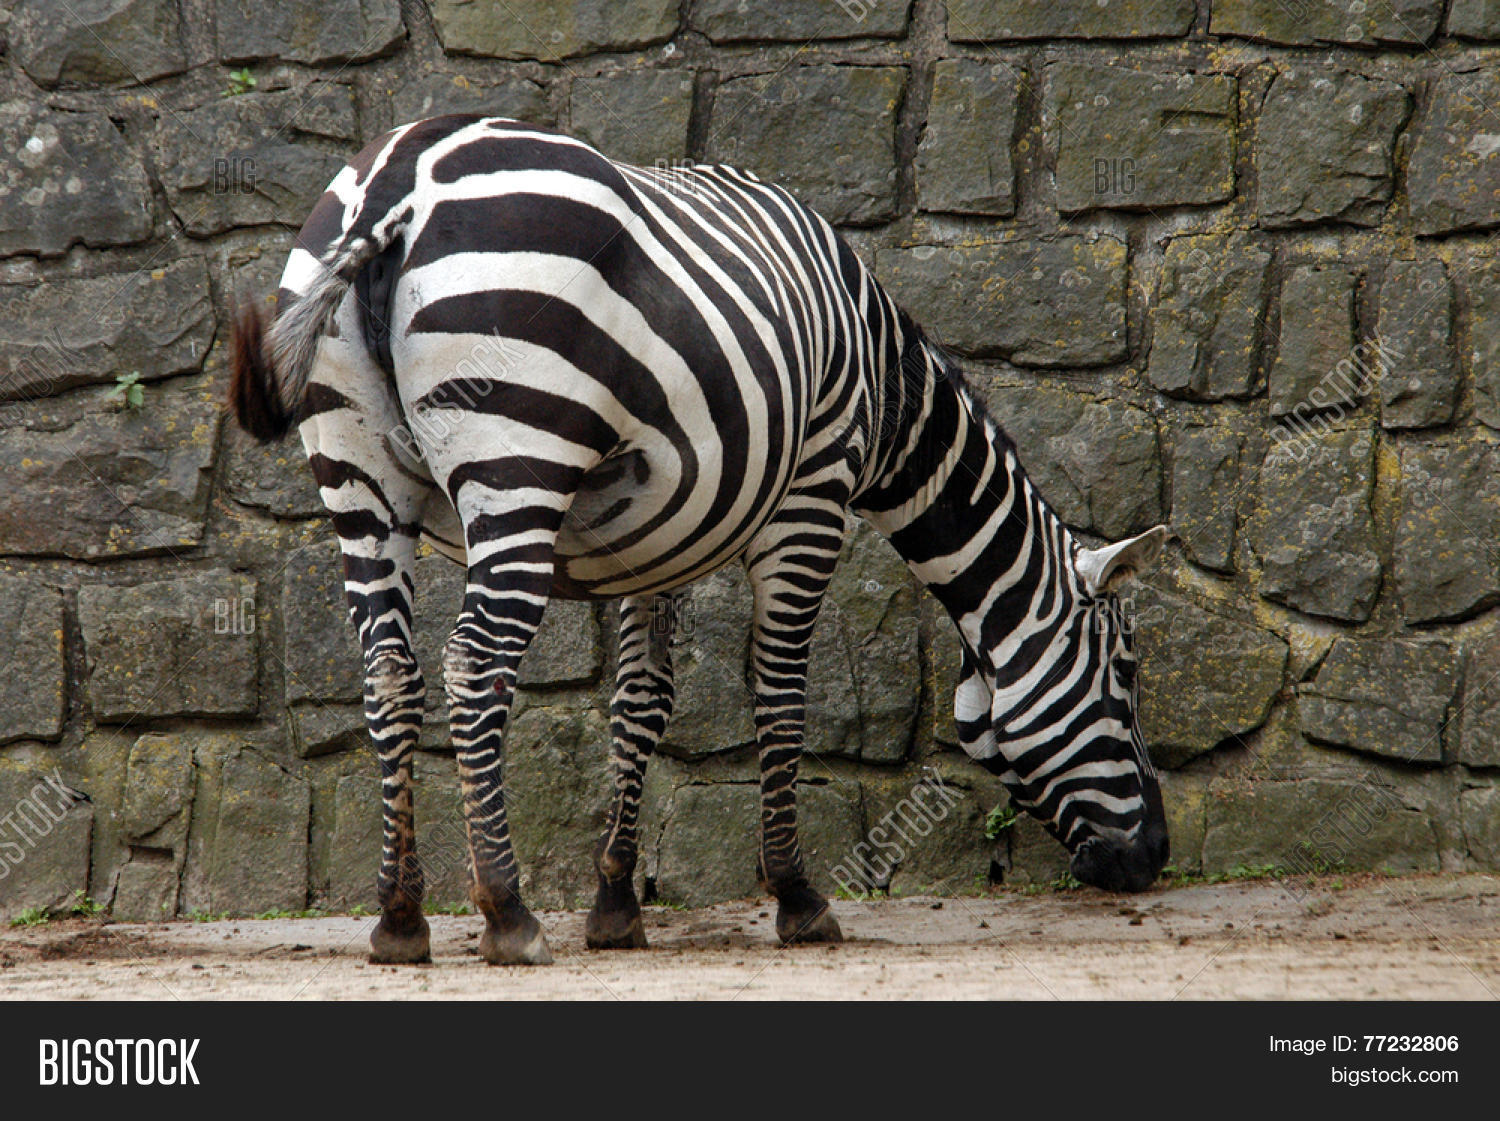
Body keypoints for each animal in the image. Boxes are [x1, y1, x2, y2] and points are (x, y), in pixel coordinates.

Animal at [230, 115, 1171, 966]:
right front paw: (797, 896)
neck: (883, 385)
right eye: (1126, 674)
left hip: (358, 475)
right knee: (475, 663)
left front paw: (616, 905)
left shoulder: (660, 533)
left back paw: (399, 919)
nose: (1155, 858)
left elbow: (641, 702)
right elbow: (782, 694)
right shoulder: (813, 495)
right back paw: (507, 913)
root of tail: (400, 179)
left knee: (391, 671)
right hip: (518, 457)